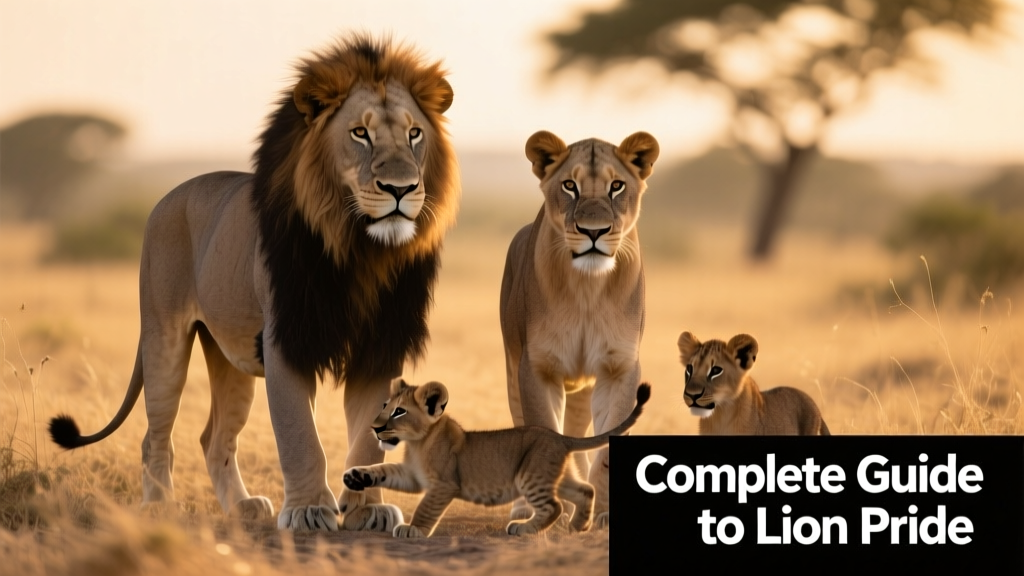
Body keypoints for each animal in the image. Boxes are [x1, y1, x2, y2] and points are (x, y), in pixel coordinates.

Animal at [47, 34, 460, 532]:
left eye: (415, 134)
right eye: (360, 134)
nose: (401, 189)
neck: (361, 251)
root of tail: (167, 197)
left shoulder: (378, 345)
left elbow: (368, 434)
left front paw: (366, 509)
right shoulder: (286, 338)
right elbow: (300, 435)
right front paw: (307, 511)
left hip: (231, 359)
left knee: (214, 437)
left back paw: (243, 507)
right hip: (164, 339)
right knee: (156, 433)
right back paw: (159, 506)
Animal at [342, 378, 651, 538]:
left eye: (400, 411)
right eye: (385, 405)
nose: (375, 428)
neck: (418, 443)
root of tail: (559, 437)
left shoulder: (444, 484)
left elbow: (425, 508)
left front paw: (413, 529)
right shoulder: (413, 476)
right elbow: (384, 468)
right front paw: (355, 477)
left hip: (530, 476)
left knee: (553, 507)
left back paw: (524, 529)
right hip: (554, 476)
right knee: (585, 491)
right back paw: (576, 528)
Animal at [499, 130, 659, 528]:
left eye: (617, 186)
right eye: (569, 186)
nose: (593, 232)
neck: (588, 288)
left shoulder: (619, 370)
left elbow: (604, 451)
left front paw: (601, 516)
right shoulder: (536, 368)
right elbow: (543, 430)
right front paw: (546, 518)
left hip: (584, 387)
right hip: (512, 365)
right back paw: (526, 507)